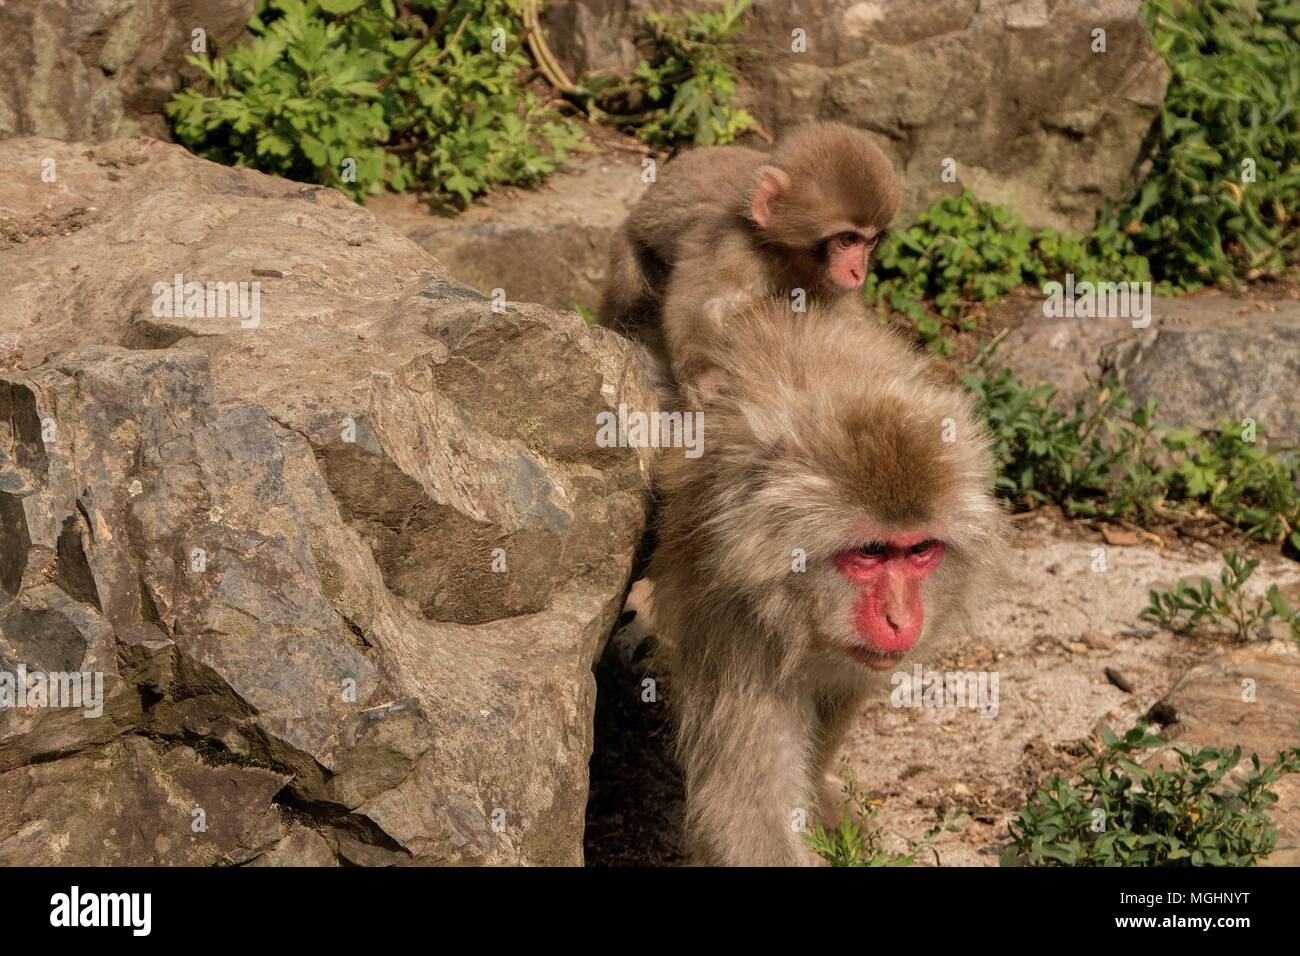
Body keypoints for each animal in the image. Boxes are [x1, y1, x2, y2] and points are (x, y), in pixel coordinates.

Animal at [599, 122, 900, 396]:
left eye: (870, 242)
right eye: (847, 240)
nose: (857, 272)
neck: (785, 256)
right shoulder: (732, 246)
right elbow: (704, 306)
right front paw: (706, 377)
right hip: (628, 245)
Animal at [647, 299, 1006, 866]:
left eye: (919, 551)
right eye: (871, 552)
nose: (899, 619)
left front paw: (819, 800)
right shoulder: (735, 619)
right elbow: (745, 805)